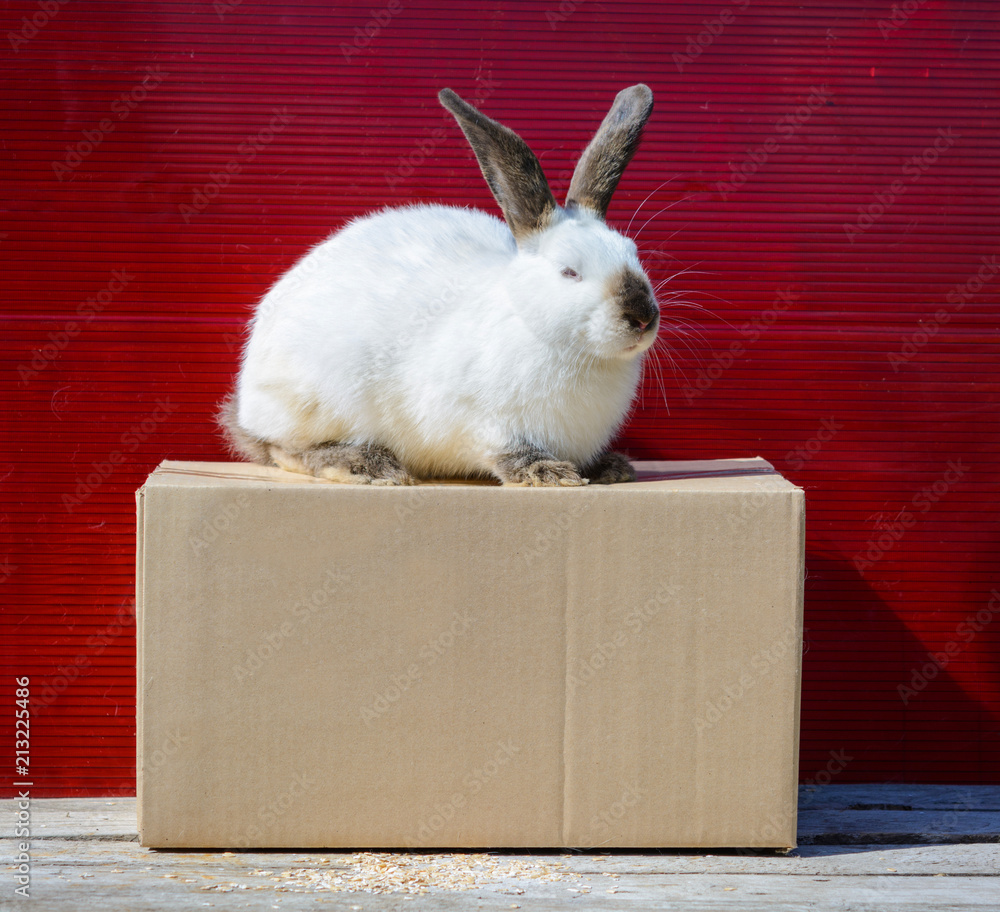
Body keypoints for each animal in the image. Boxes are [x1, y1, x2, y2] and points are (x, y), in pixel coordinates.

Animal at [220, 84, 660, 486]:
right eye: (569, 272)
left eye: (633, 252)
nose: (642, 317)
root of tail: (245, 402)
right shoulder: (479, 420)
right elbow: (502, 448)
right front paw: (546, 472)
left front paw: (609, 468)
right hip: (315, 402)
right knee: (280, 448)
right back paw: (364, 465)